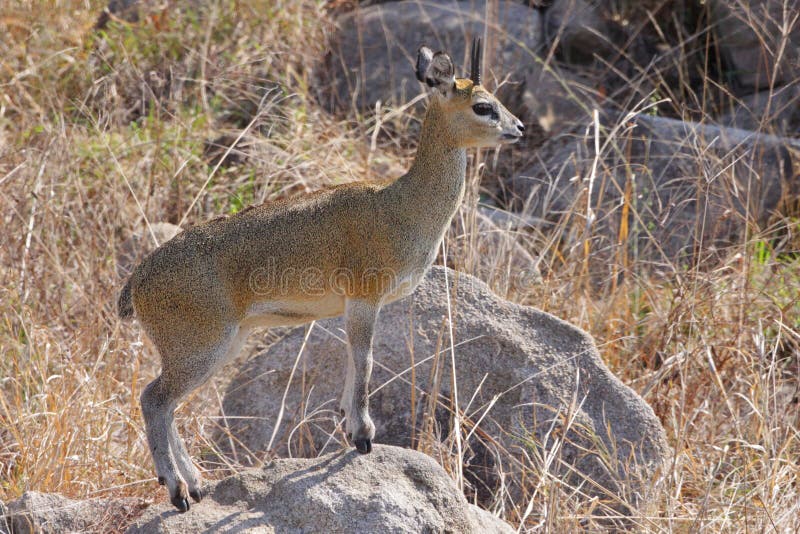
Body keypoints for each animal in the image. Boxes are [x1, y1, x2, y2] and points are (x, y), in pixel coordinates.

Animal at [118, 39, 524, 512]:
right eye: (483, 106)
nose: (518, 127)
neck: (400, 206)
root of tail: (137, 280)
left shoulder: (355, 306)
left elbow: (353, 359)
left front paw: (351, 428)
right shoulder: (364, 299)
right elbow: (365, 361)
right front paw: (364, 435)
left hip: (223, 344)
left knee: (166, 404)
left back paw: (196, 484)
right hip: (200, 347)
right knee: (154, 399)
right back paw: (178, 490)